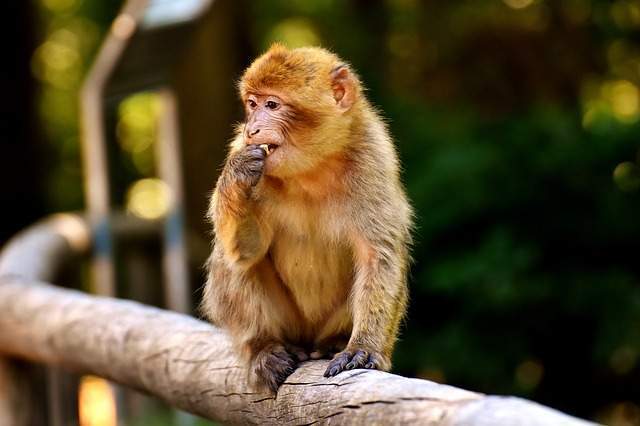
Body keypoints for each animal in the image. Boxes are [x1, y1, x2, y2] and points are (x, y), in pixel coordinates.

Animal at [202, 44, 412, 392]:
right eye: (252, 104)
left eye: (272, 104)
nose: (251, 128)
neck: (311, 169)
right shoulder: (241, 148)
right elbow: (246, 250)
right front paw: (235, 175)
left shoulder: (373, 157)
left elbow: (377, 255)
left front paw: (364, 347)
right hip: (289, 323)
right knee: (231, 260)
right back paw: (263, 348)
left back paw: (334, 341)